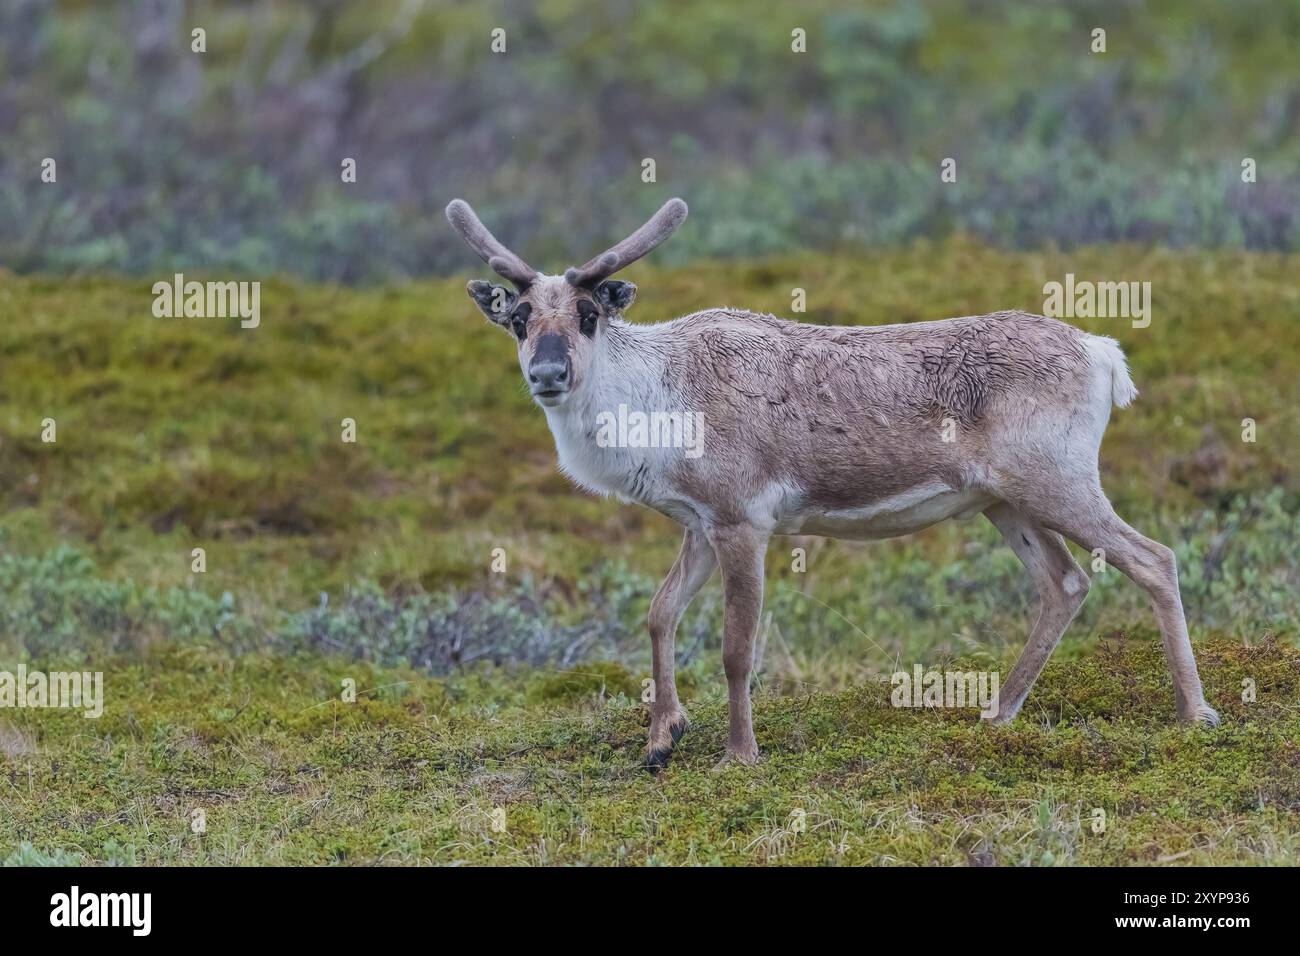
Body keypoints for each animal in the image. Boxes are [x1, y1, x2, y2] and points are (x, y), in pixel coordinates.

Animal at [446, 197, 1220, 772]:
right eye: (519, 320)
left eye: (588, 315)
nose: (548, 374)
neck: (657, 399)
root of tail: (1104, 352)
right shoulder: (698, 522)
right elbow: (660, 613)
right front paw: (661, 738)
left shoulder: (743, 519)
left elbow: (737, 647)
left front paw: (739, 755)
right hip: (1004, 501)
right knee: (1065, 583)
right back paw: (998, 712)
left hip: (1056, 480)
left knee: (1154, 558)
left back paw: (1195, 713)